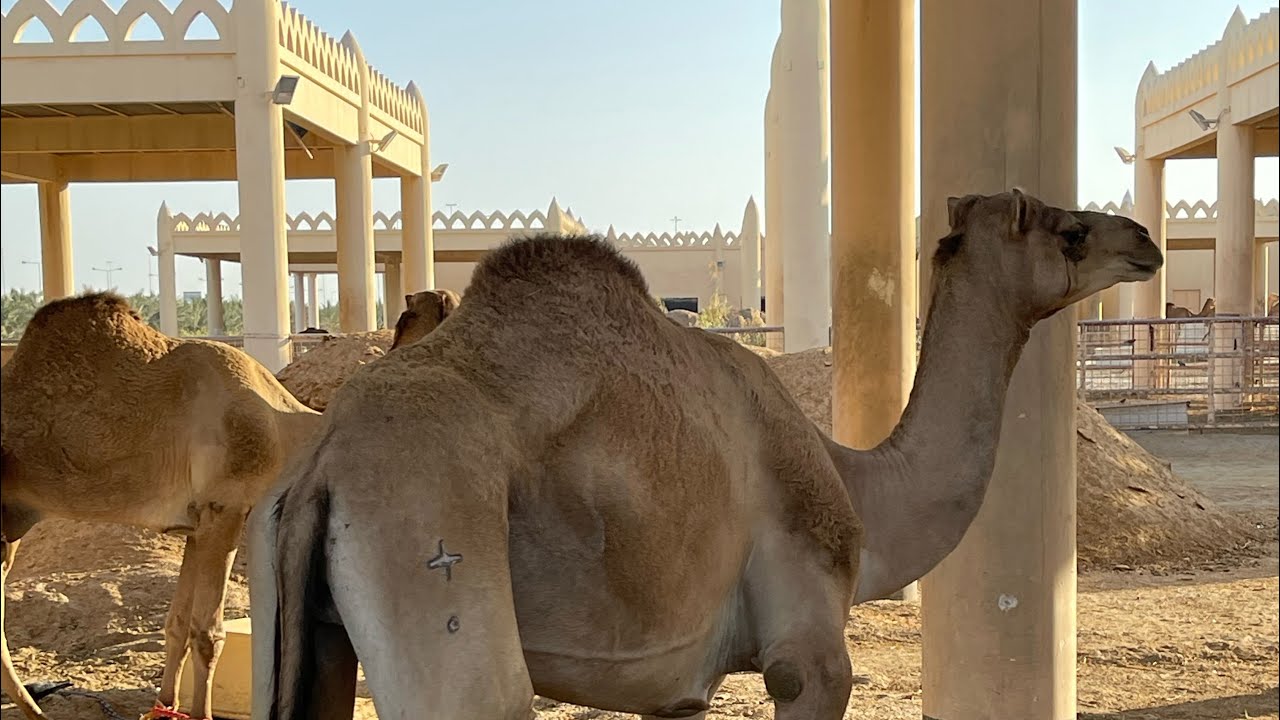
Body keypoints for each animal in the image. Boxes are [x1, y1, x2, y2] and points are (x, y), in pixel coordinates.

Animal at [0, 293, 322, 720]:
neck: (282, 428)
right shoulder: (226, 508)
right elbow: (208, 631)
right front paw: (202, 715)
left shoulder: (195, 524)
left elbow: (178, 623)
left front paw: (165, 706)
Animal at [251, 189, 1162, 720]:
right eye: (1071, 232)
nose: (1145, 239)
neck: (858, 488)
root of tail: (324, 470)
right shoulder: (808, 657)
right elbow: (812, 670)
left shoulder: (674, 691)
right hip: (436, 553)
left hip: (291, 603)